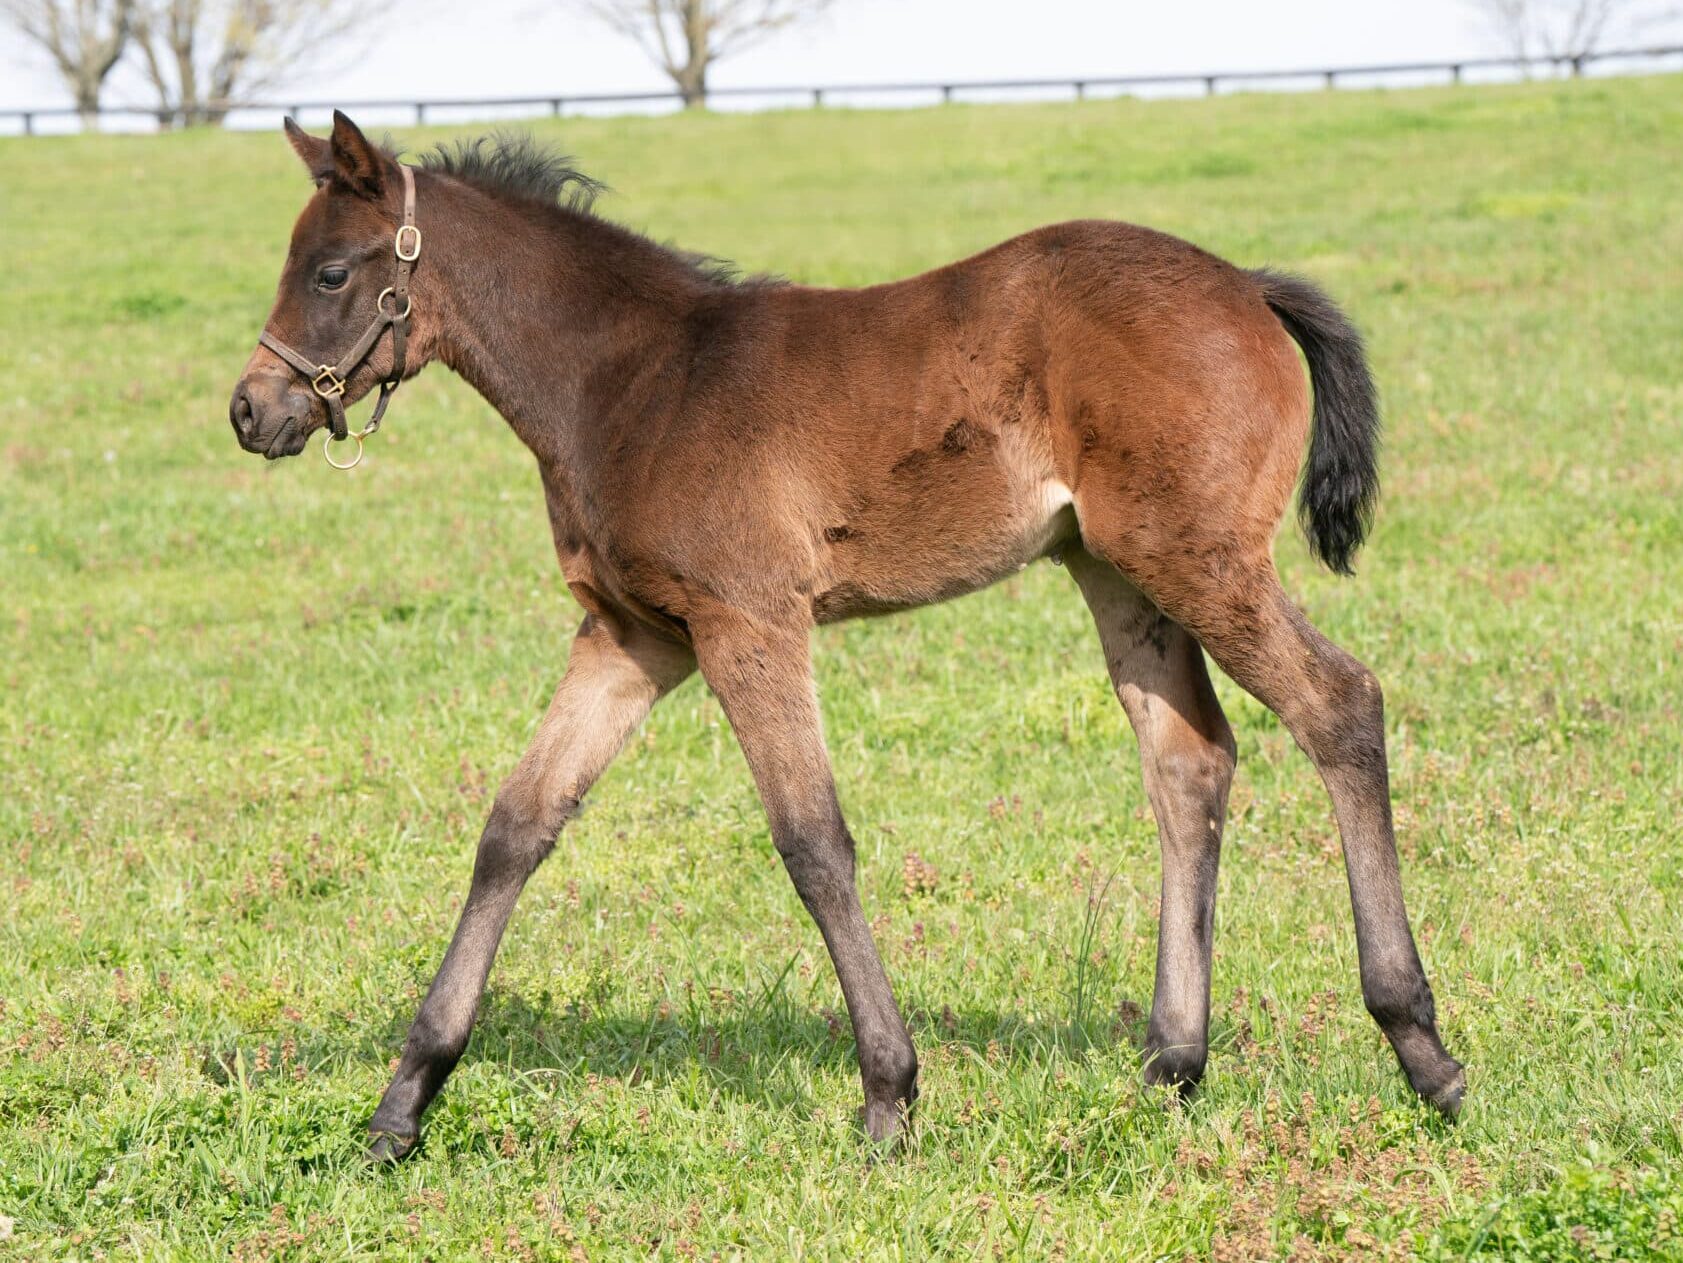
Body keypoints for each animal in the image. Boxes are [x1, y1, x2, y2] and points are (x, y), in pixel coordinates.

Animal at [229, 112, 1465, 1161]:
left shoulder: (748, 623)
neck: (633, 382)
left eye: (331, 272)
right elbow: (516, 827)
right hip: (1116, 571)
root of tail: (1247, 286)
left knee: (1339, 705)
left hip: (1197, 558)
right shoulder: (632, 638)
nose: (251, 412)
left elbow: (813, 843)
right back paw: (1173, 1063)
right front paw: (401, 1106)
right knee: (1189, 761)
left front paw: (889, 1097)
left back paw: (1422, 1050)